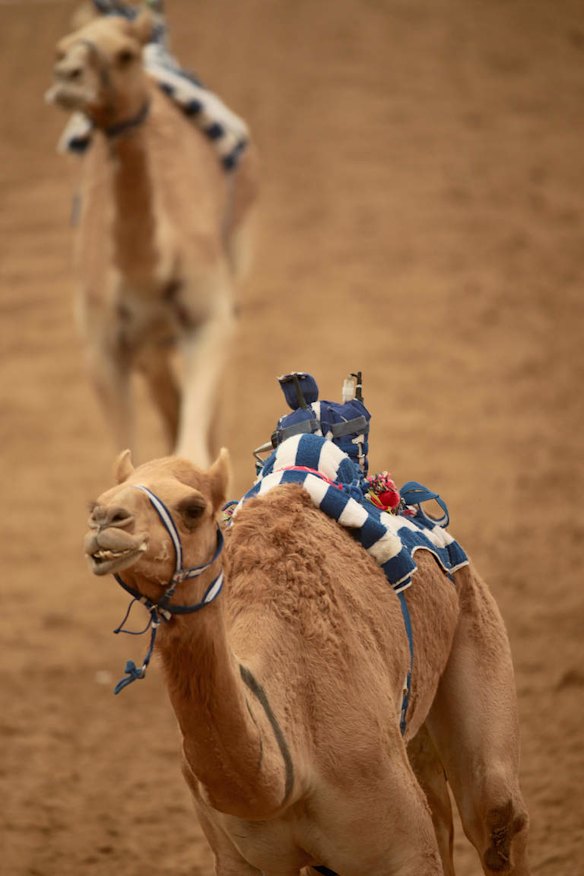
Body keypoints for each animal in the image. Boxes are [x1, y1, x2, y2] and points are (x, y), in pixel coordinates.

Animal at [46, 11, 258, 466]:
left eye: (126, 54)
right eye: (60, 49)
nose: (68, 78)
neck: (148, 276)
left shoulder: (210, 317)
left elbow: (193, 449)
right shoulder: (103, 350)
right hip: (149, 345)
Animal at [84, 448, 530, 876]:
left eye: (193, 509)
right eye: (99, 500)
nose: (106, 518)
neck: (288, 770)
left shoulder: (404, 854)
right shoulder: (236, 857)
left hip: (473, 615)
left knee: (496, 814)